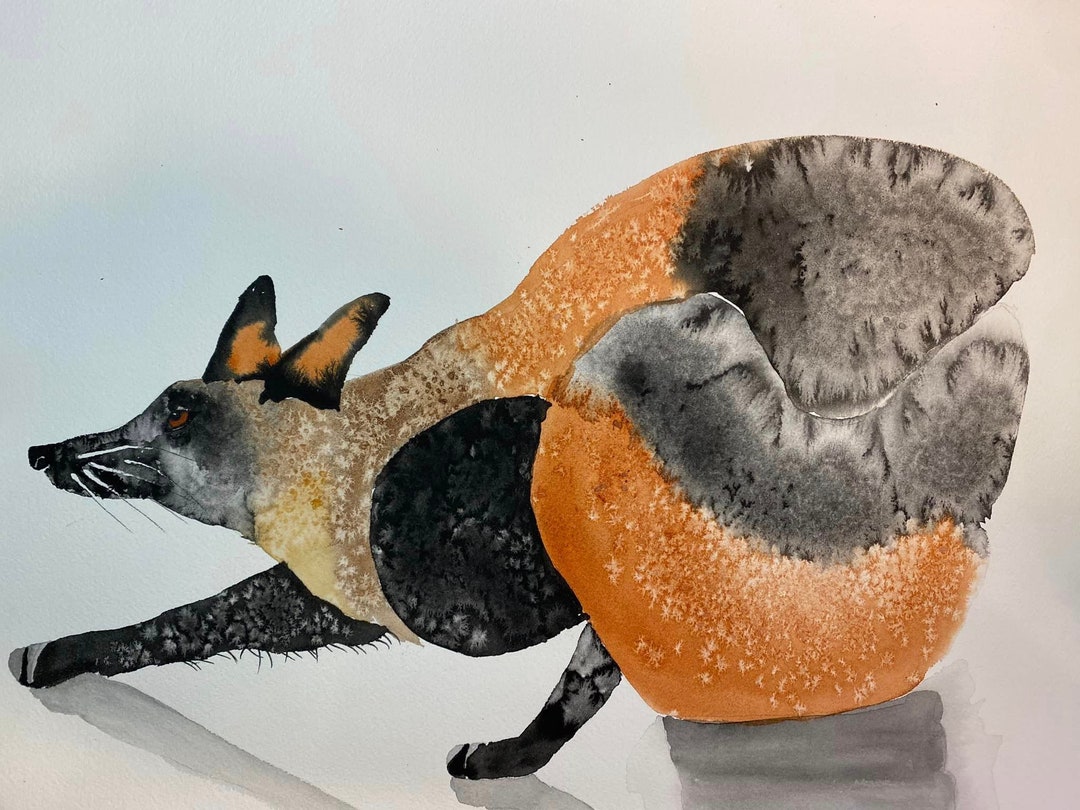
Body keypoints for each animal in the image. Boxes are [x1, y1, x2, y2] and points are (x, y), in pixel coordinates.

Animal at [12, 135, 1033, 780]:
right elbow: (188, 624)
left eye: (178, 413)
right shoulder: (336, 604)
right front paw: (63, 652)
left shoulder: (470, 569)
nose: (43, 450)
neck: (343, 468)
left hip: (633, 370)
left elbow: (191, 621)